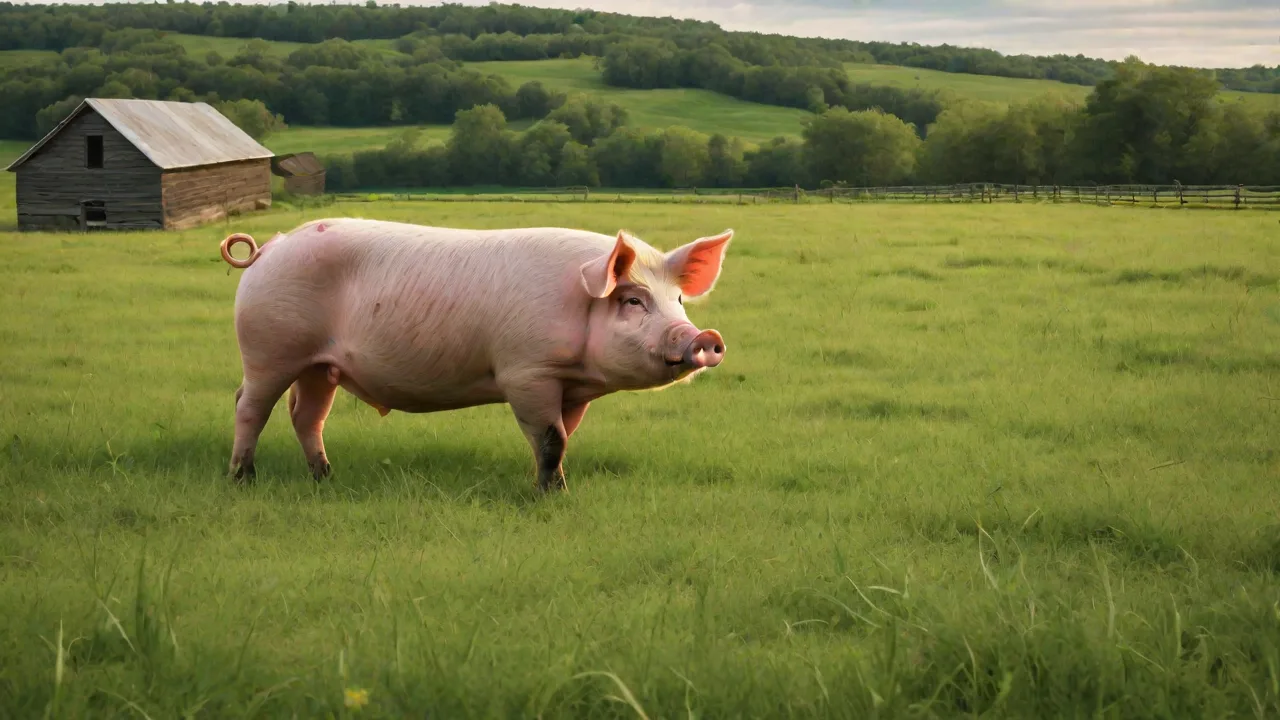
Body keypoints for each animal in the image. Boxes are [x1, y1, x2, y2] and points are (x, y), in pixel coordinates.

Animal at [218, 217, 732, 492]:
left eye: (678, 299)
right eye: (633, 301)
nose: (702, 336)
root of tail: (271, 247)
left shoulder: (573, 388)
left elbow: (565, 436)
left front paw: (555, 486)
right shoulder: (526, 371)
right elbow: (550, 438)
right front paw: (552, 495)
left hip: (318, 365)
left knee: (306, 414)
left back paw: (325, 477)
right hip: (269, 348)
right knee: (249, 406)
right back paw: (243, 479)